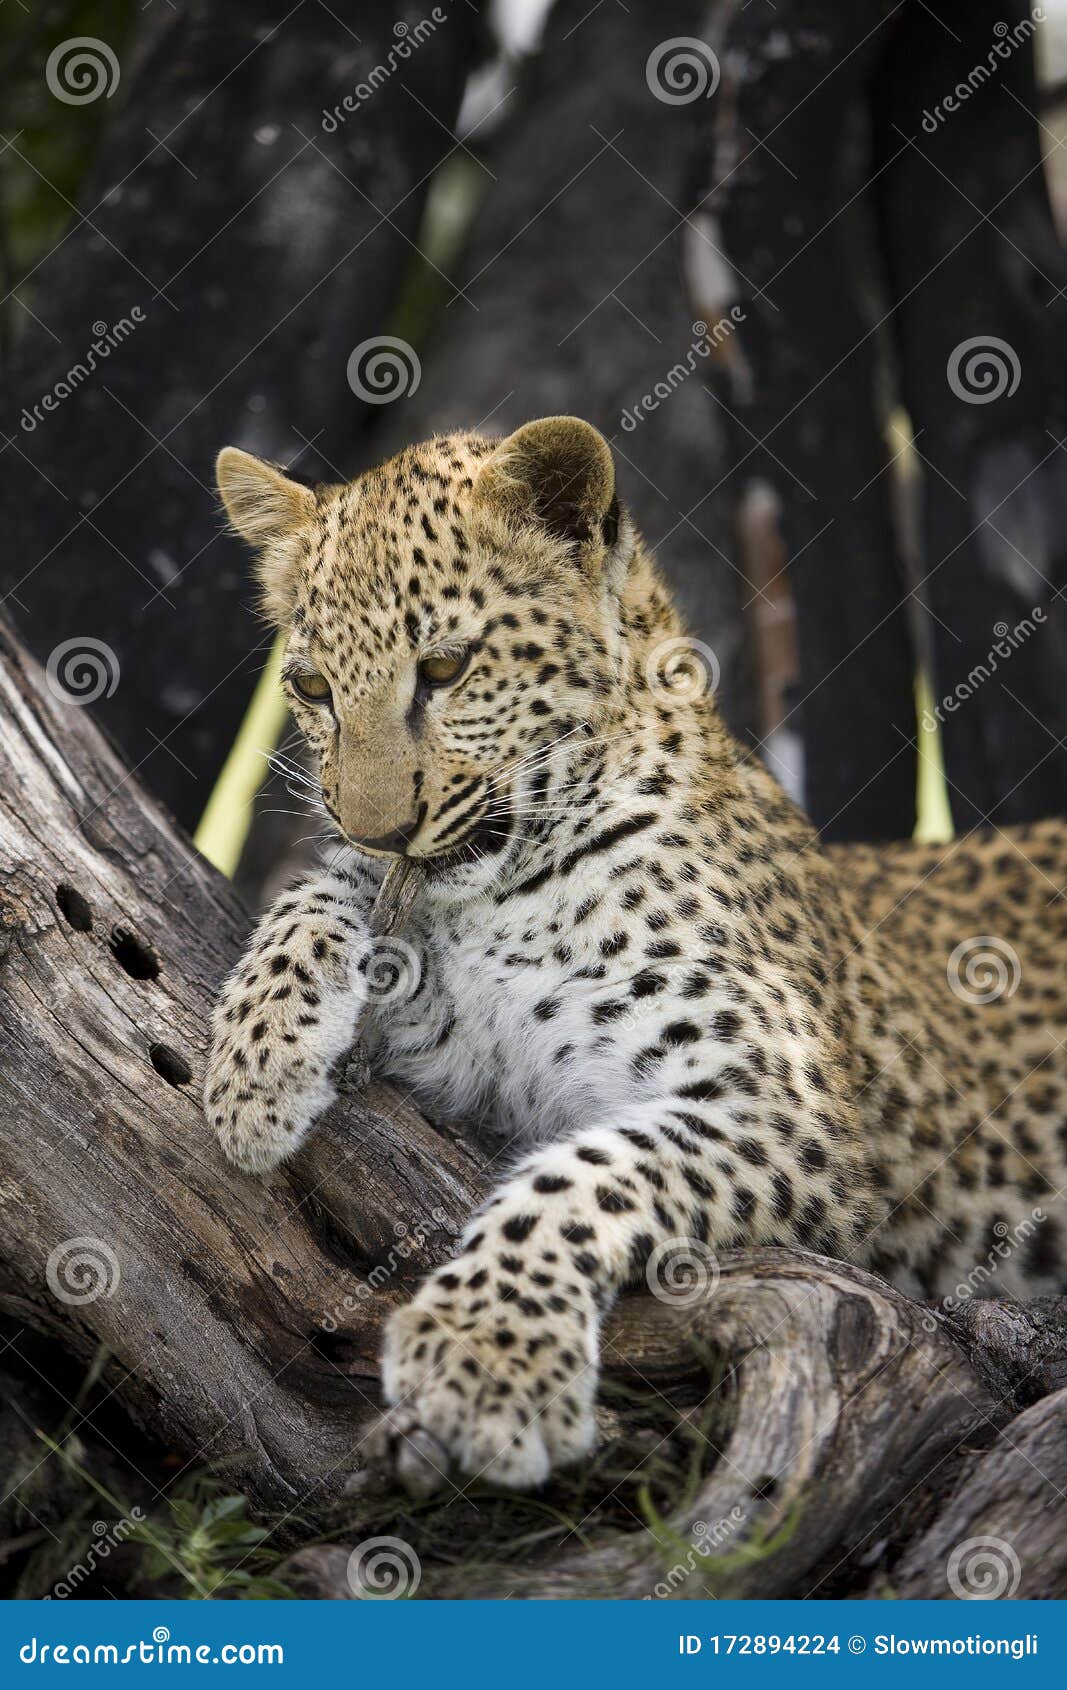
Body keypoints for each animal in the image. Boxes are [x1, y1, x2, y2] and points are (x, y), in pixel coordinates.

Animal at [205, 415, 1067, 1495]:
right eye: (312, 688)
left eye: (444, 669)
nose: (376, 826)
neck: (502, 893)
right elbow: (320, 890)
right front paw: (252, 1069)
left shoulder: (782, 1108)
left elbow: (579, 1179)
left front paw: (483, 1359)